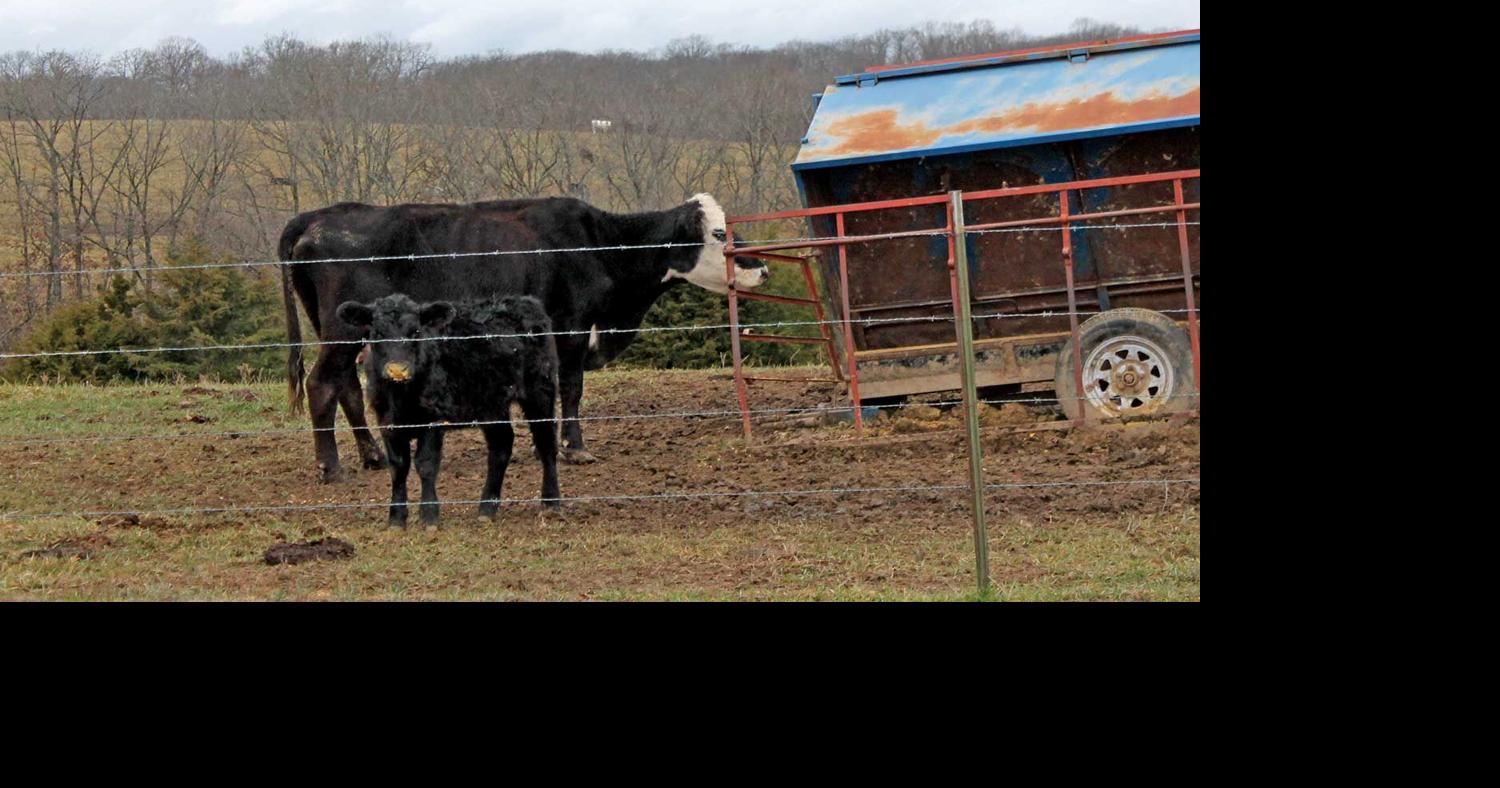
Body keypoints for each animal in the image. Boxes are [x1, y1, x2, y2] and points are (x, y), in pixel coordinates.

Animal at [279, 193, 768, 483]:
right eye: (719, 233)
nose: (762, 267)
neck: (598, 246)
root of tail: (320, 216)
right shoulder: (571, 327)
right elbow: (570, 388)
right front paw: (574, 448)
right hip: (342, 333)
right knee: (322, 385)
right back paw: (331, 466)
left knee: (347, 387)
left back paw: (373, 455)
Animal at [336, 293, 560, 527]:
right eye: (377, 333)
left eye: (415, 332)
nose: (397, 370)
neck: (401, 399)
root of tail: (525, 301)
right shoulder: (387, 422)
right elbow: (398, 467)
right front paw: (396, 518)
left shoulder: (434, 417)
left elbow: (425, 463)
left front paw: (429, 516)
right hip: (491, 405)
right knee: (501, 445)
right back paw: (487, 507)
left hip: (540, 390)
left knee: (546, 443)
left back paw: (550, 502)